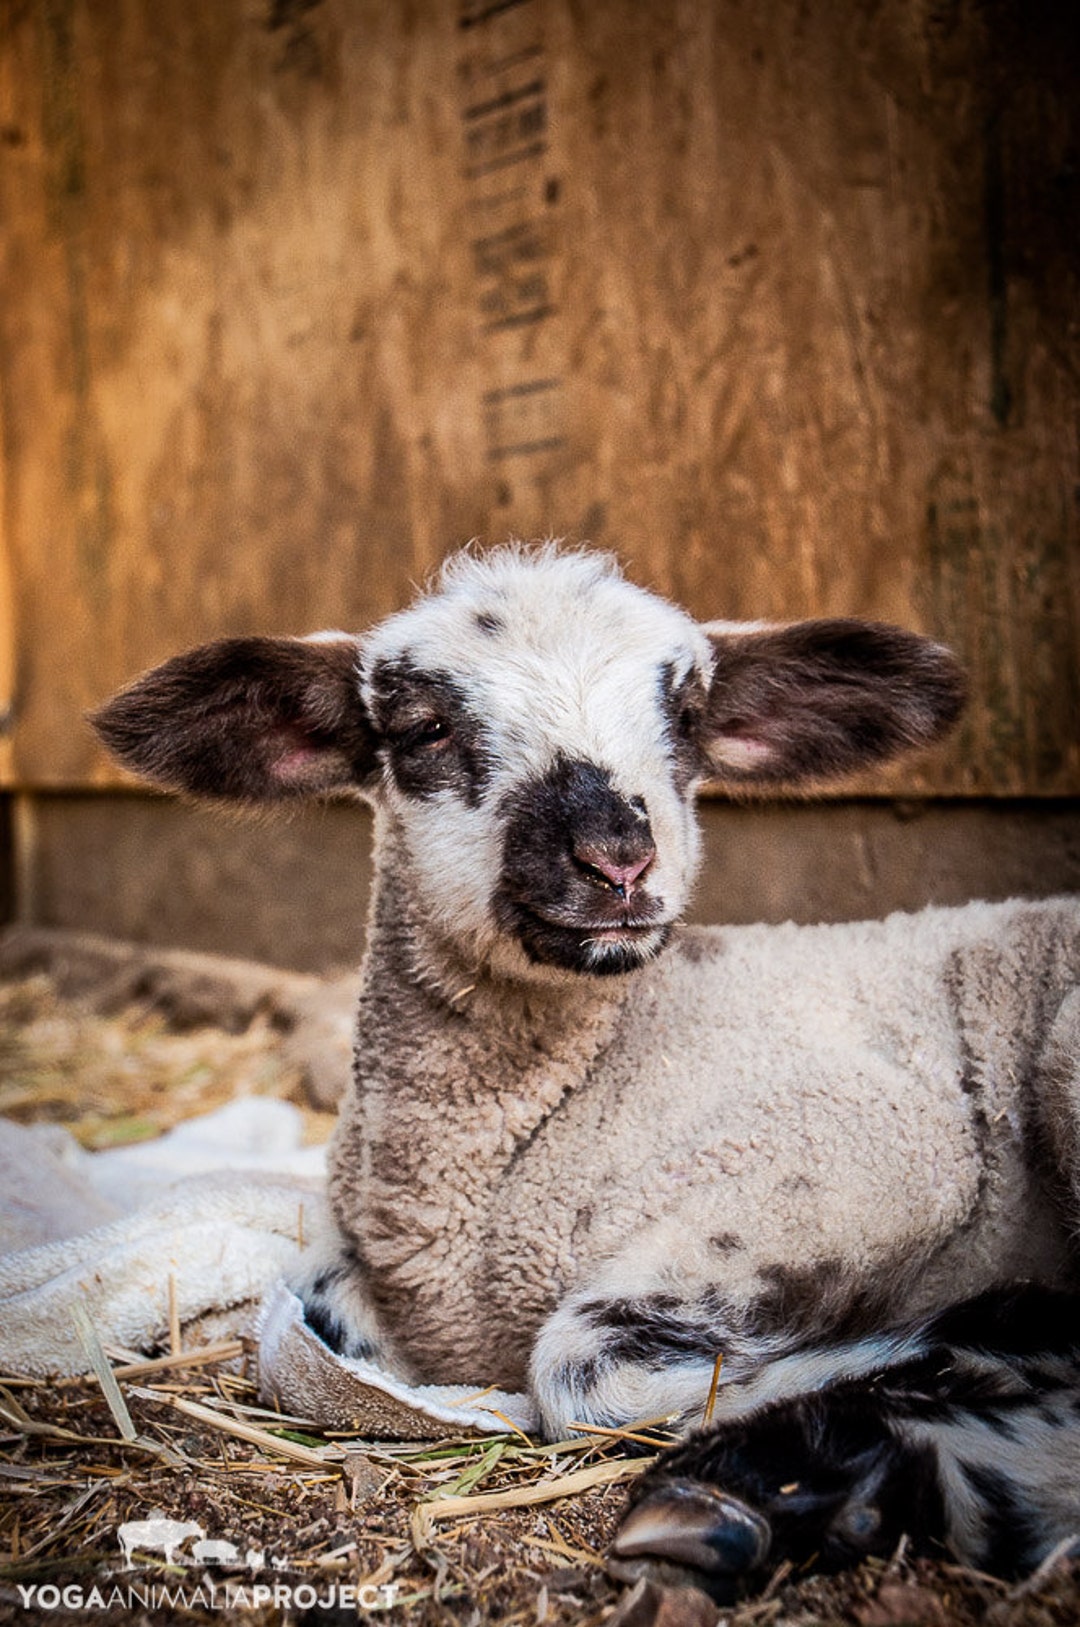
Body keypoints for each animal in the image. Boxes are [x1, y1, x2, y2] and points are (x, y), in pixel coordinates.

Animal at [93, 544, 1080, 1477]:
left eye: (686, 721)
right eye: (425, 727)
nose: (617, 860)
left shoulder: (873, 1151)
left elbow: (577, 1372)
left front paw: (966, 1342)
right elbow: (307, 1325)